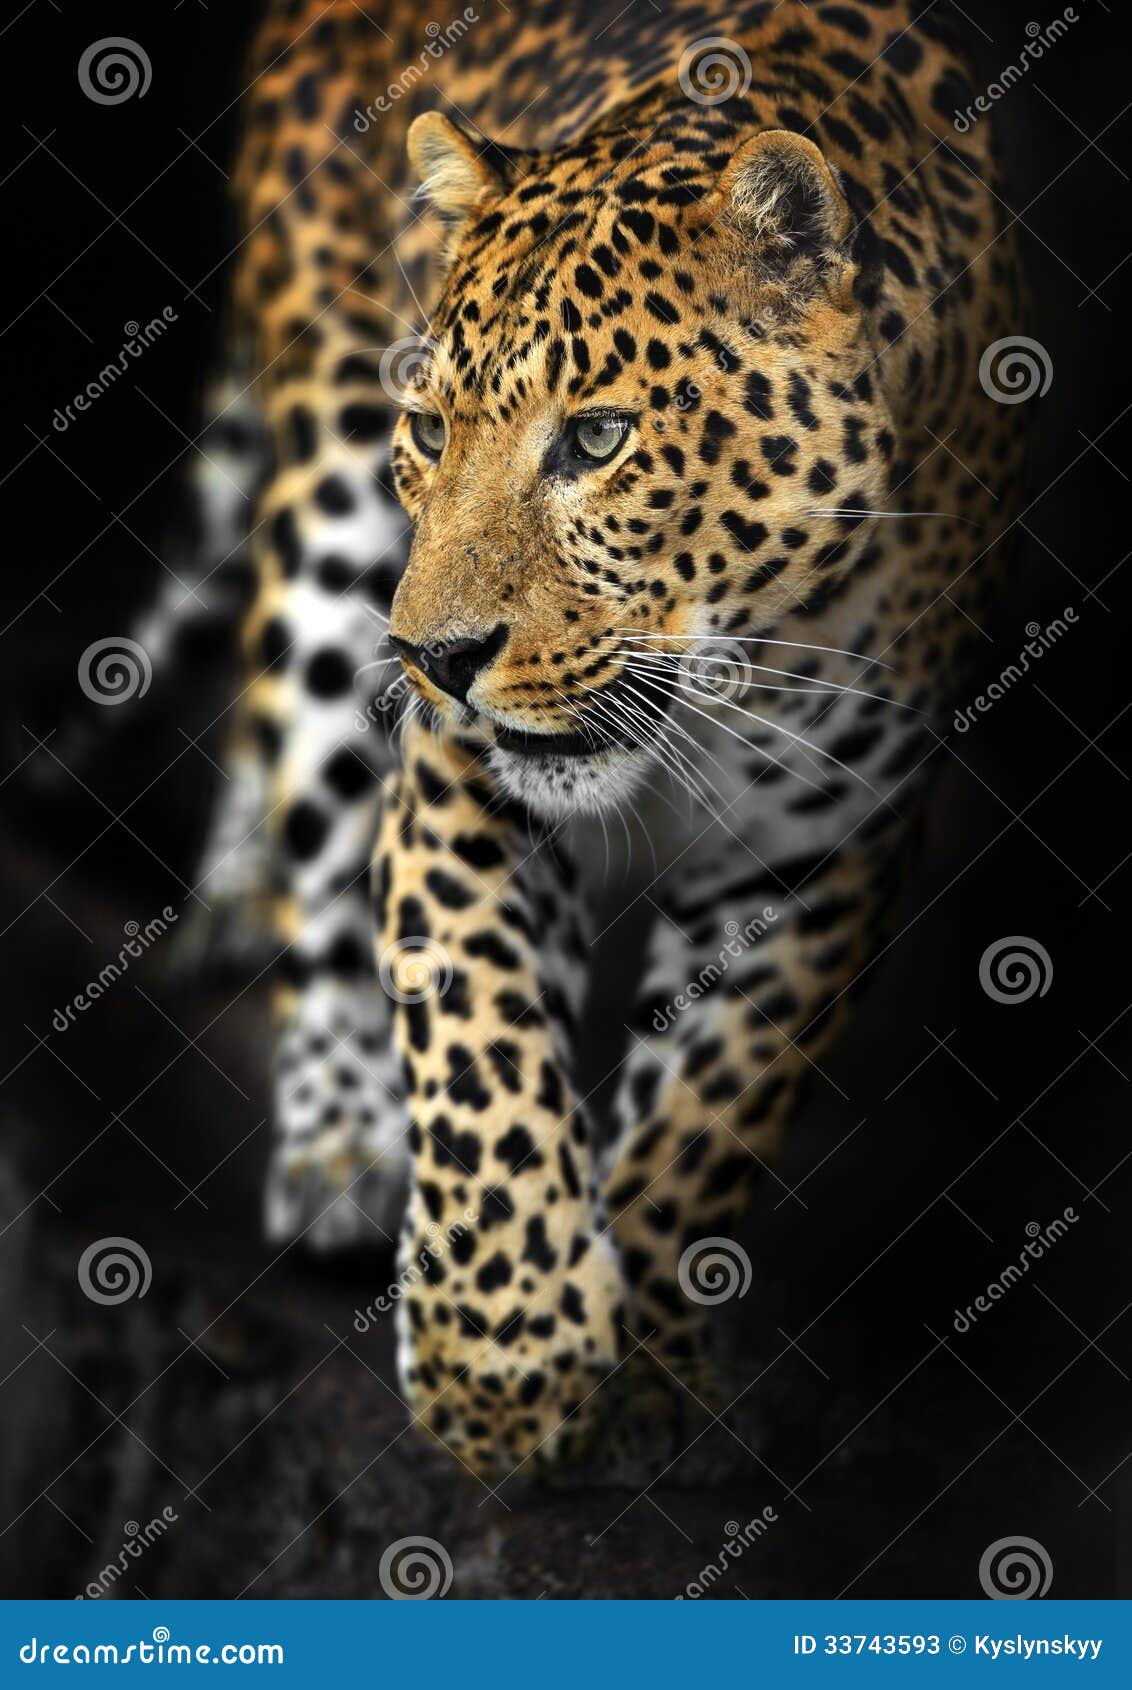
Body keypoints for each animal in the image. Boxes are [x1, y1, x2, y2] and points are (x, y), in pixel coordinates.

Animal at [85, 0, 1028, 1481]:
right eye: (430, 428)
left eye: (594, 438)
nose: (434, 659)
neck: (732, 673)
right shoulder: (463, 792)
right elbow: (478, 1042)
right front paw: (503, 1367)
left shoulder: (825, 849)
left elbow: (711, 1105)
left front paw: (642, 1367)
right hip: (326, 506)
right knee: (315, 795)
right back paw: (339, 1137)